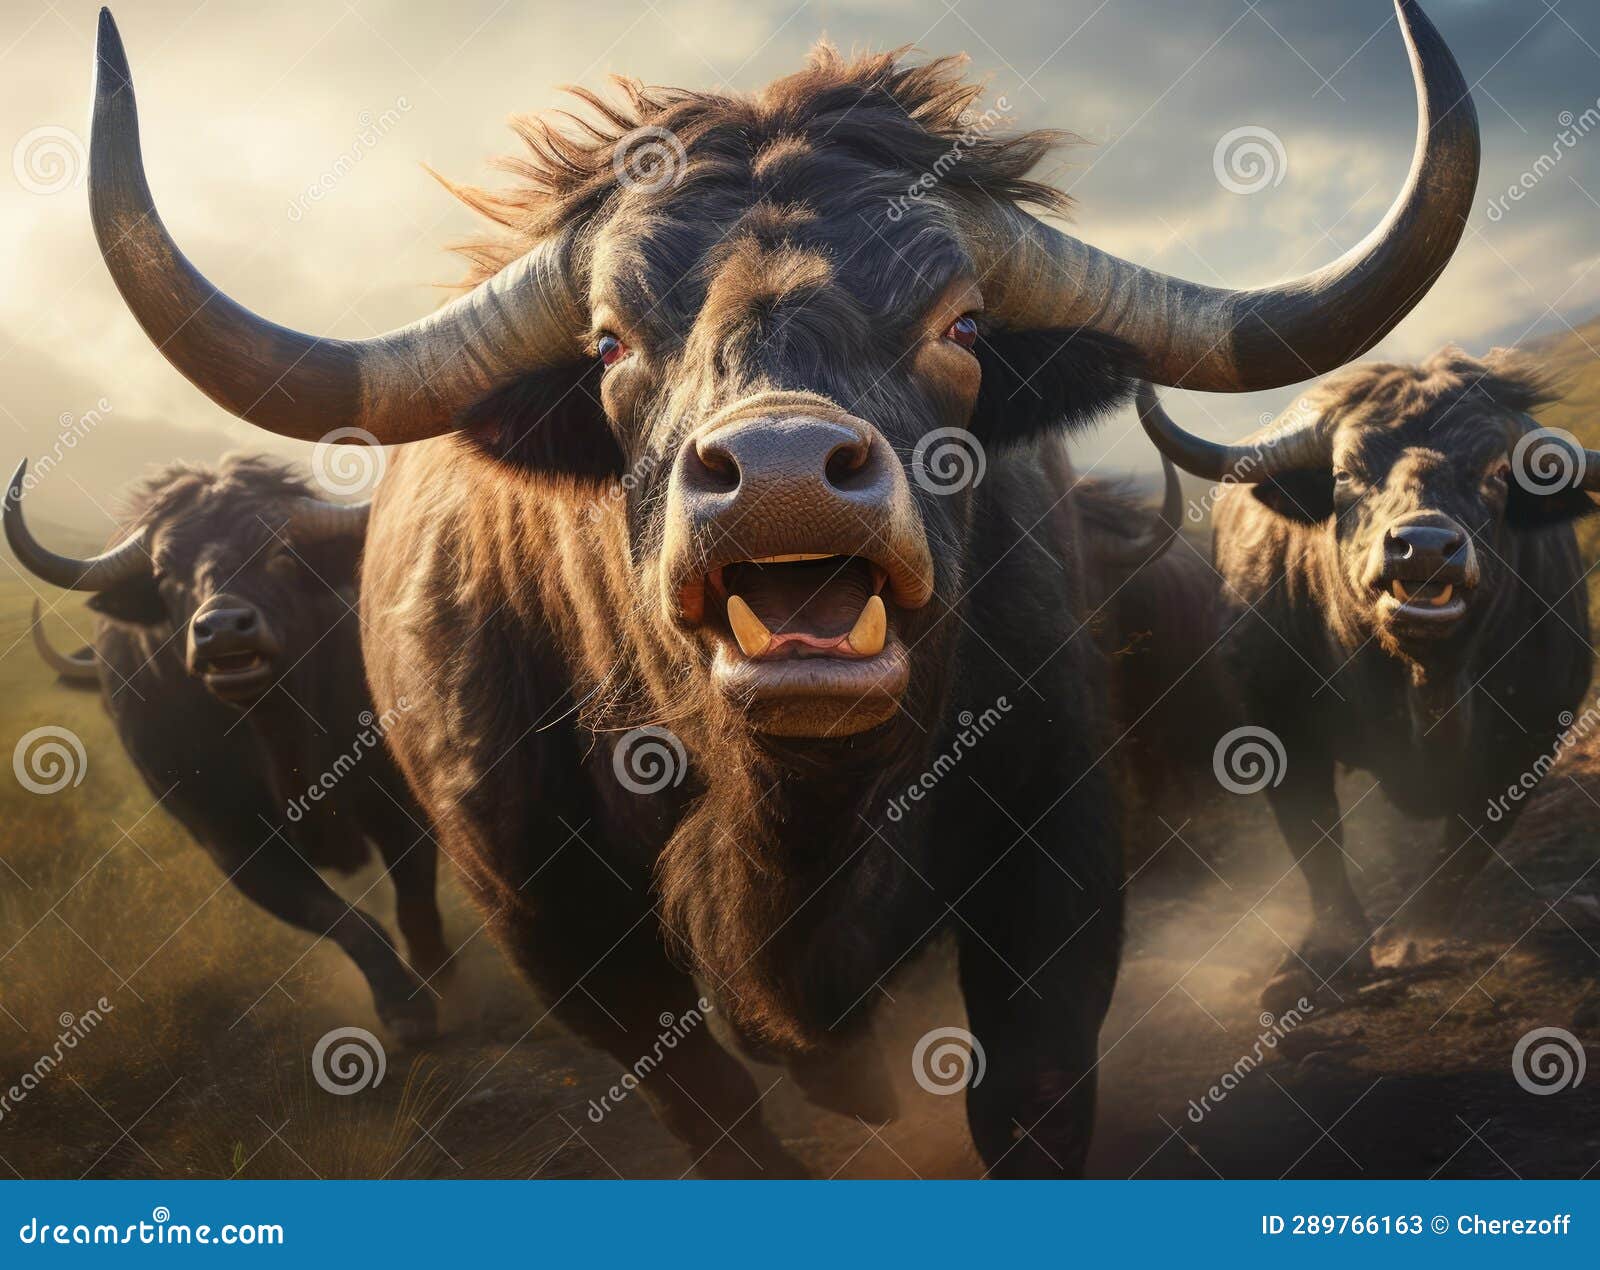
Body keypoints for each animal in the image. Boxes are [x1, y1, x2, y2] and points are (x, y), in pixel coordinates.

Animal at [6, 456, 448, 1040]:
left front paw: (439, 974)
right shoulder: (230, 841)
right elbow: (343, 920)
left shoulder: (400, 797)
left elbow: (415, 896)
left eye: (281, 552)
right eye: (165, 573)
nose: (222, 630)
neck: (280, 733)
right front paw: (405, 1007)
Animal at [82, 2, 1477, 1175]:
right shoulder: (554, 929)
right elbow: (717, 1116)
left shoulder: (1059, 850)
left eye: (963, 326)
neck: (793, 830)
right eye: (608, 342)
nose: (784, 475)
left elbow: (1026, 1092)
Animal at [1136, 352, 1597, 1010]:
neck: (1425, 686)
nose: (1424, 548)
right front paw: (1331, 955)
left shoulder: (1531, 739)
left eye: (1495, 472)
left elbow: (1465, 847)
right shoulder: (1278, 732)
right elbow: (1316, 843)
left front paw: (1413, 940)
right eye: (1347, 472)